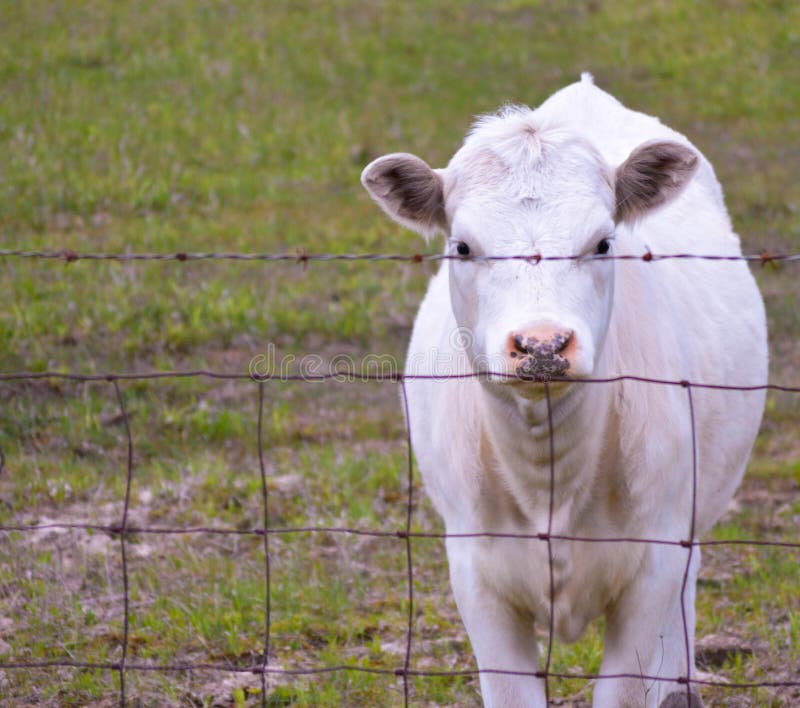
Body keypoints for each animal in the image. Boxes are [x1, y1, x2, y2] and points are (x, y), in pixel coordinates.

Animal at [361, 74, 767, 707]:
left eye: (602, 242)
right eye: (462, 247)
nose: (543, 344)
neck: (549, 477)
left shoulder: (654, 566)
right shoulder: (476, 575)